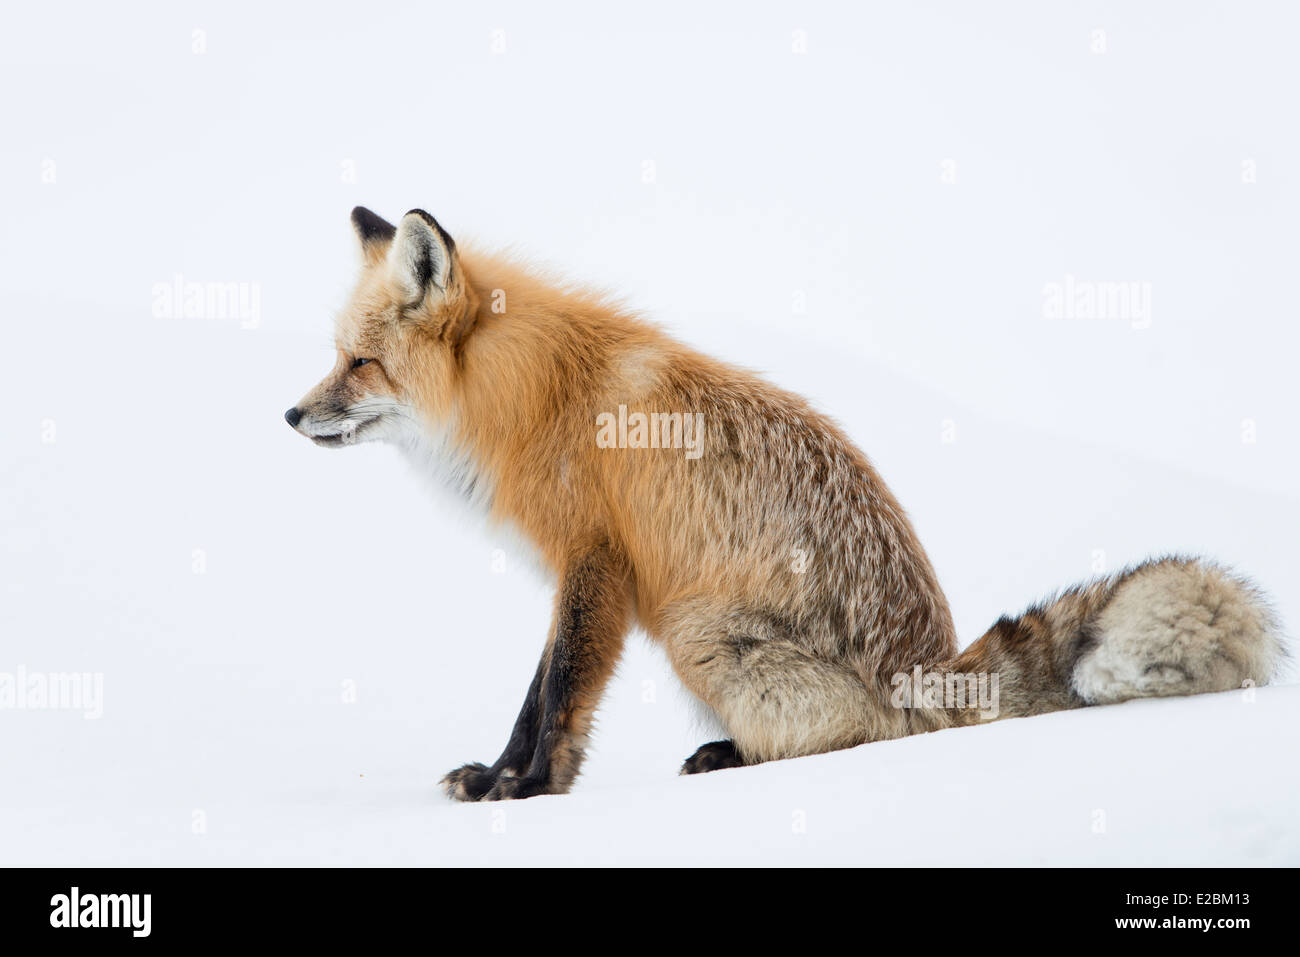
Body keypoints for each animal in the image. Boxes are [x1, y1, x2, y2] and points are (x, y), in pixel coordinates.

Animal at [286, 206, 1285, 800]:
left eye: (359, 363)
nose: (291, 414)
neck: (534, 394)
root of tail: (930, 666)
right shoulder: (583, 574)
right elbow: (537, 692)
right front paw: (498, 777)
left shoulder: (597, 565)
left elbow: (560, 692)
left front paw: (527, 790)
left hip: (694, 629)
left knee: (863, 735)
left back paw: (734, 756)